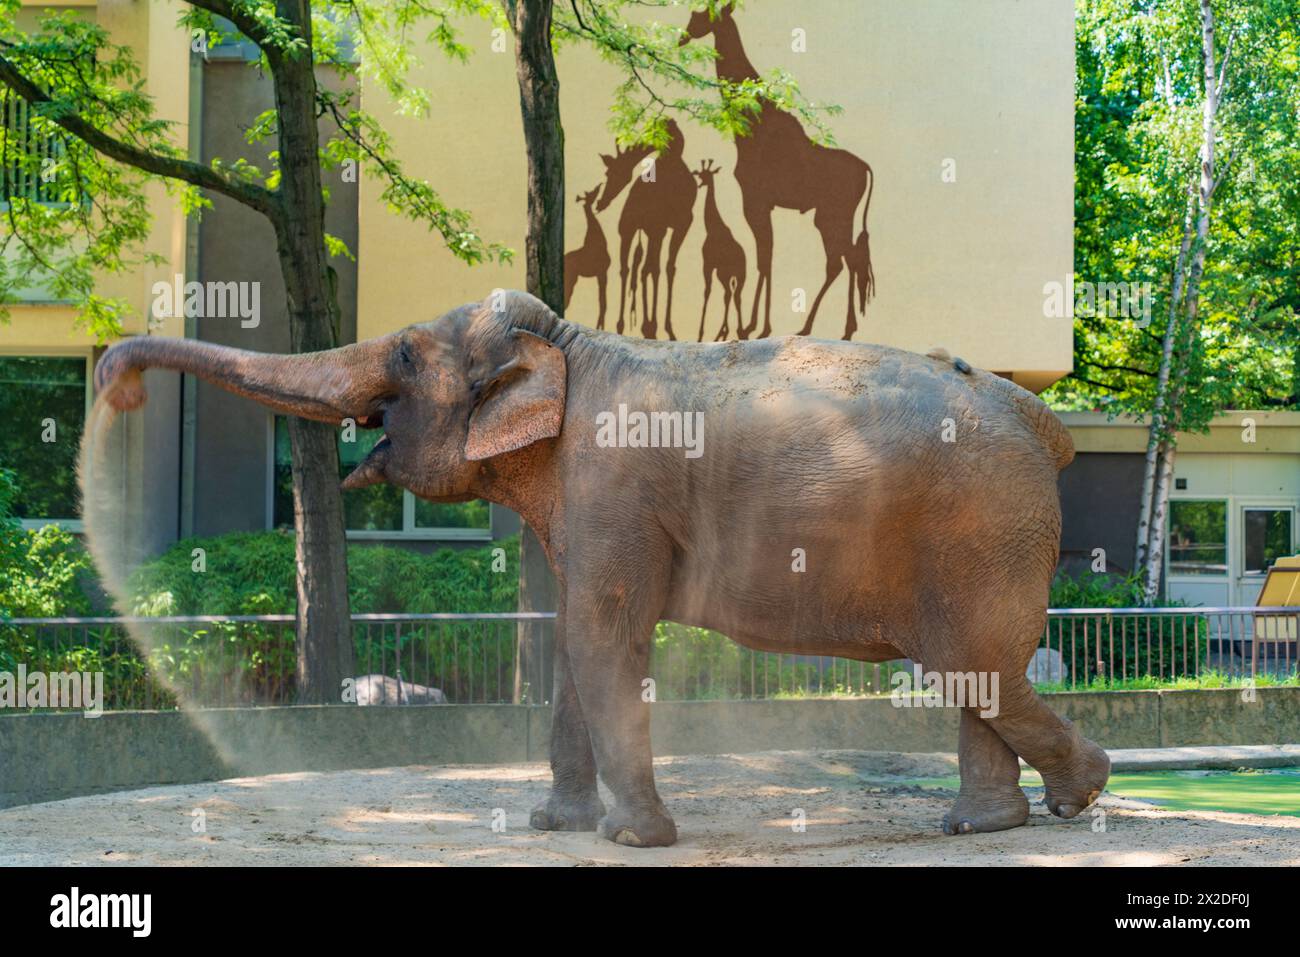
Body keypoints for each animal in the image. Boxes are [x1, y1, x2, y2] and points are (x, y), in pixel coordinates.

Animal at [93, 289, 1109, 847]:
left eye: (407, 353)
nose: (116, 380)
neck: (571, 345)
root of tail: (1042, 420)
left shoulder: (614, 484)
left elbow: (602, 634)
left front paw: (632, 837)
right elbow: (575, 643)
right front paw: (558, 826)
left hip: (984, 528)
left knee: (975, 666)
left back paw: (1082, 792)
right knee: (979, 674)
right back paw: (987, 825)